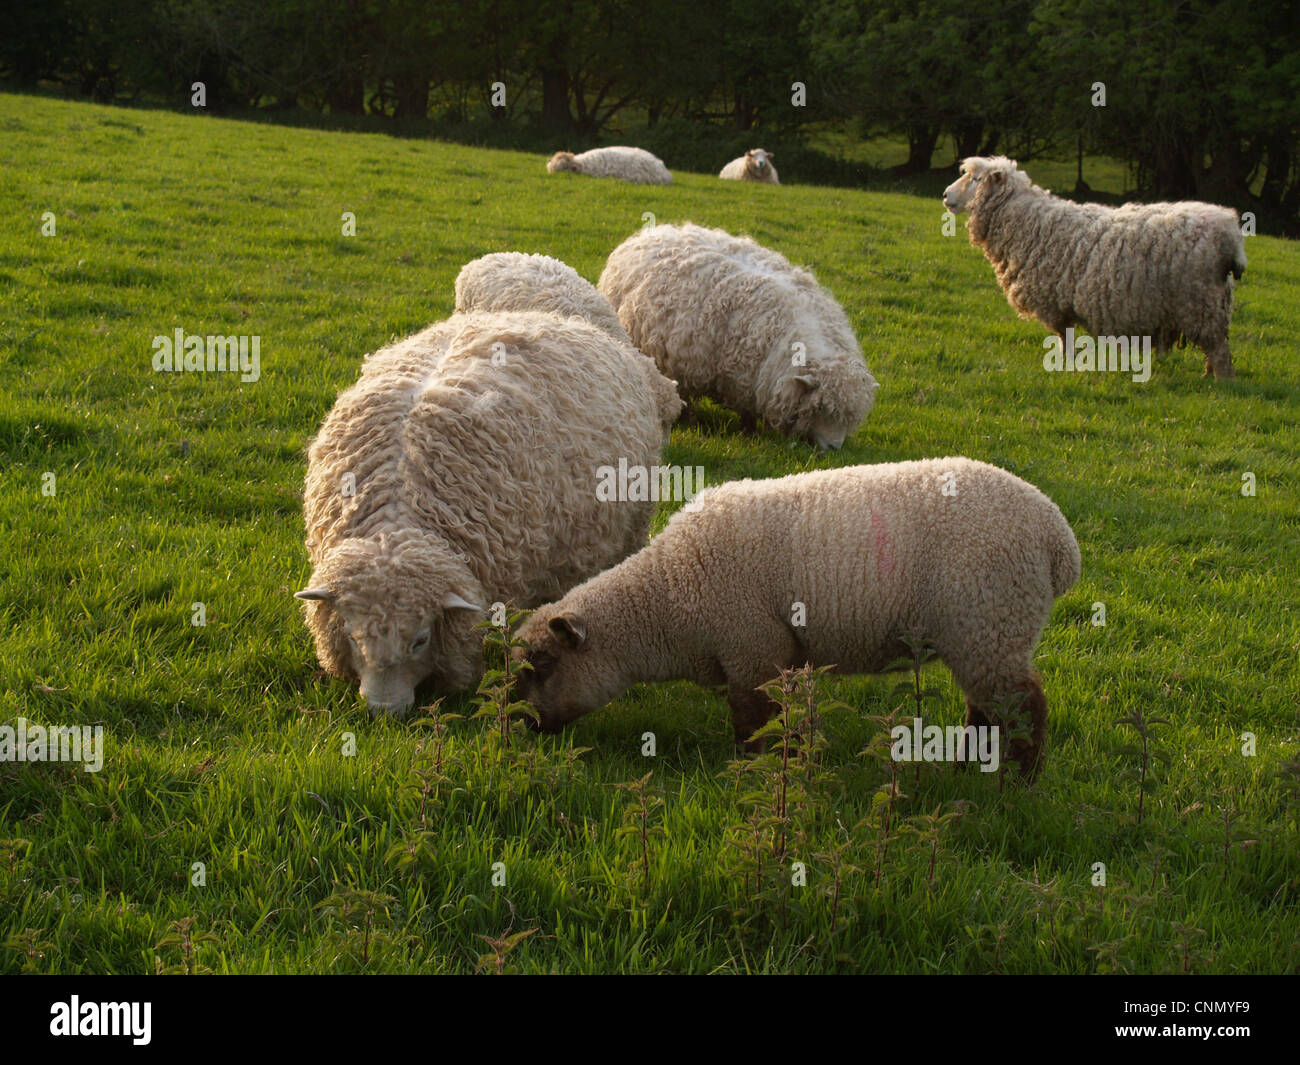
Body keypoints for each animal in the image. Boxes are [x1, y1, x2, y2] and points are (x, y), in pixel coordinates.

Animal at [296, 309, 682, 716]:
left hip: (630, 527)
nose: (384, 711)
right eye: (352, 637)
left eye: (421, 640)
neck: (398, 519)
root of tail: (539, 314)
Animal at [517, 457, 1080, 780]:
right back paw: (968, 769)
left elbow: (753, 721)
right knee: (985, 707)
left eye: (541, 665)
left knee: (1023, 706)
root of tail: (1059, 539)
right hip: (982, 632)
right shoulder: (771, 652)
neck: (671, 595)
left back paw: (1020, 783)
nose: (518, 726)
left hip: (990, 617)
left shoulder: (750, 645)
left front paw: (756, 771)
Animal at [598, 222, 877, 449]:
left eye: (851, 417)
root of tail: (653, 231)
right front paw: (750, 433)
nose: (834, 448)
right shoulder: (742, 377)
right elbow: (747, 411)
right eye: (820, 407)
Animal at [942, 156, 1247, 379]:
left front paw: (1064, 364)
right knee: (1214, 348)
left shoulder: (1056, 300)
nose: (945, 195)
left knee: (1219, 351)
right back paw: (1207, 376)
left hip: (1200, 303)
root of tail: (1230, 234)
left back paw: (1221, 383)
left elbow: (1064, 336)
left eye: (976, 179)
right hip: (1212, 305)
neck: (1026, 221)